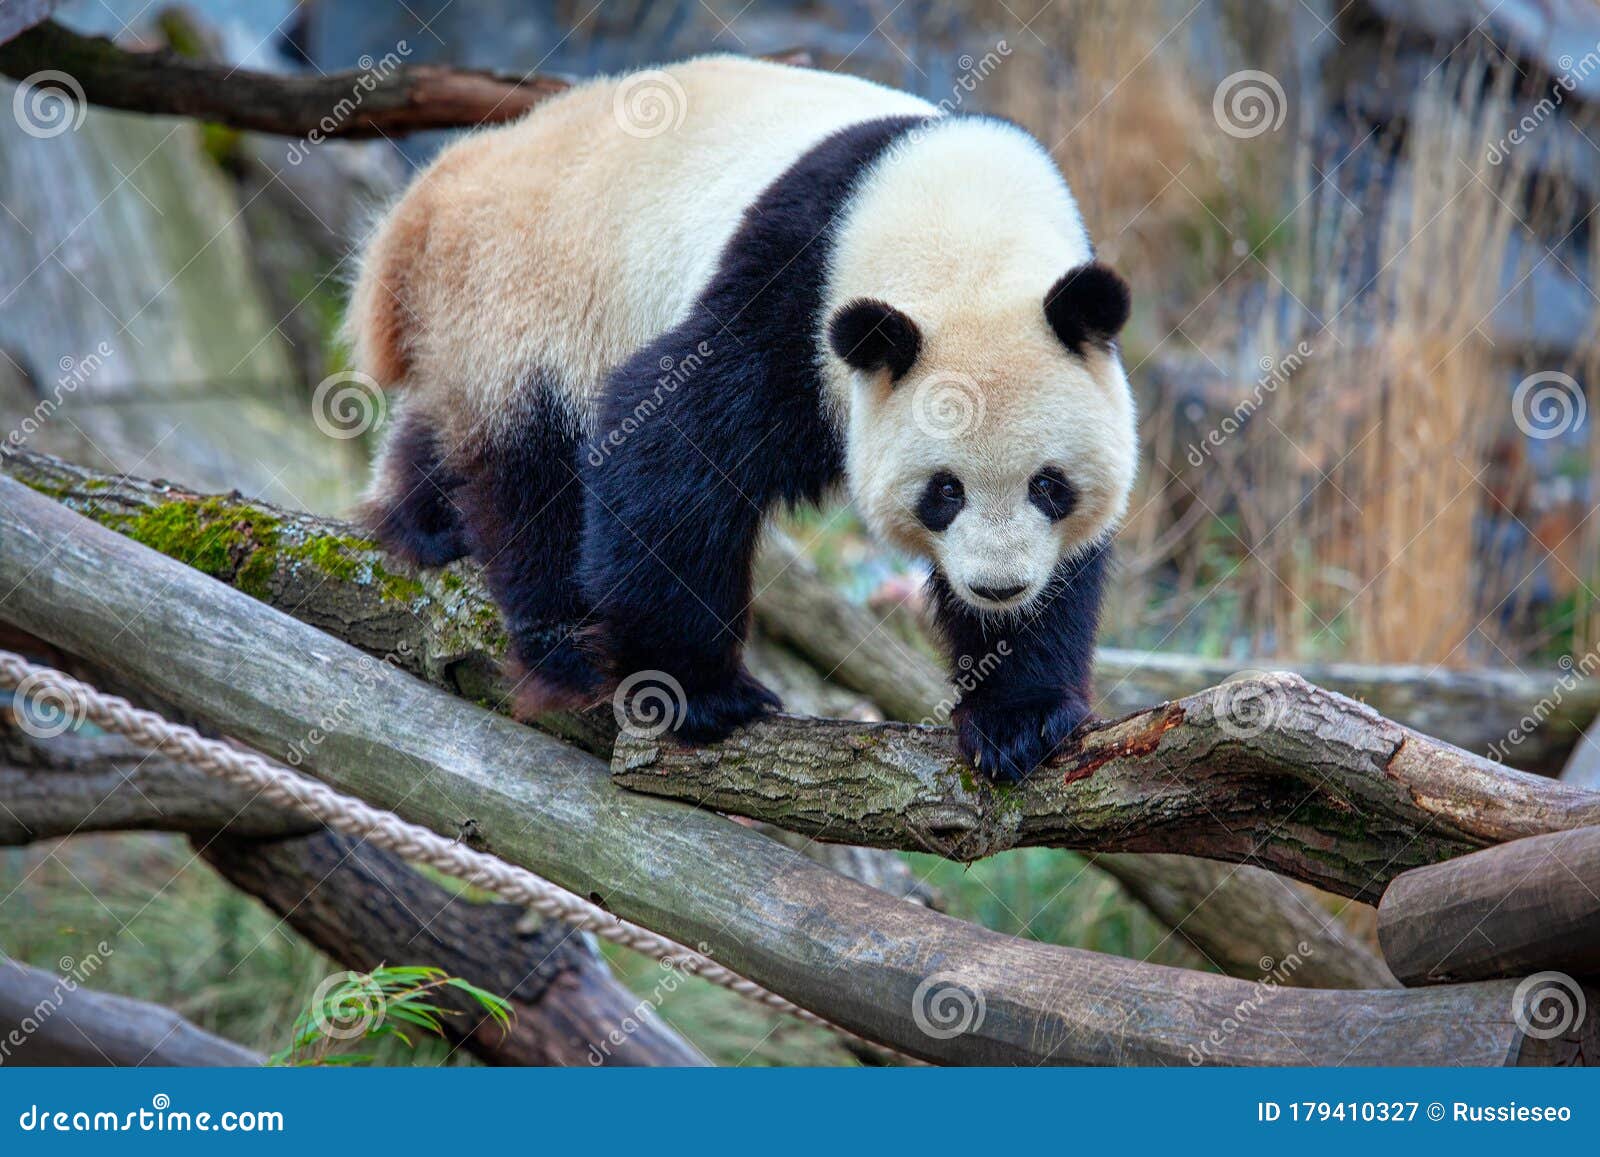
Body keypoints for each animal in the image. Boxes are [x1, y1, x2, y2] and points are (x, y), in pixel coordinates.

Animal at [345, 56, 1137, 782]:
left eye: (1050, 486)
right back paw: (563, 645)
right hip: (528, 299)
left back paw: (422, 524)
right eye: (944, 491)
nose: (999, 590)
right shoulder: (796, 285)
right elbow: (669, 441)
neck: (965, 234)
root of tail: (436, 192)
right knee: (534, 471)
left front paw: (1020, 715)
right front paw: (698, 691)